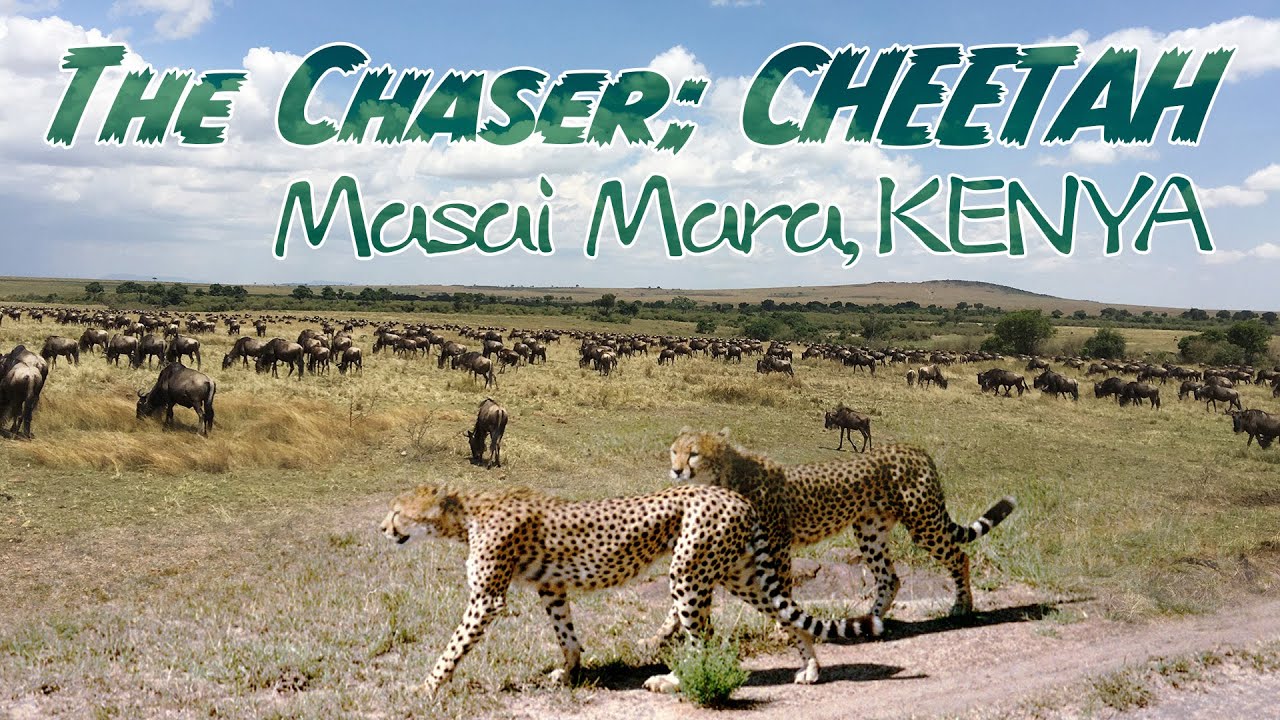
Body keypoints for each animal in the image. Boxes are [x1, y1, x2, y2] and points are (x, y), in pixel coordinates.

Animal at [379, 483, 883, 696]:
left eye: (398, 511)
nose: (382, 528)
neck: (465, 513)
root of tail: (733, 495)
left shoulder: (487, 599)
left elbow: (452, 647)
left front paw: (425, 685)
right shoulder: (552, 588)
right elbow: (568, 637)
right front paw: (569, 673)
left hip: (689, 575)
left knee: (706, 642)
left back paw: (674, 681)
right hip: (740, 575)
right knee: (788, 612)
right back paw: (811, 668)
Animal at [669, 428, 1017, 620]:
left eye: (694, 454)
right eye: (674, 451)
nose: (675, 470)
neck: (727, 476)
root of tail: (914, 449)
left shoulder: (778, 545)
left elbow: (782, 590)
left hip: (924, 524)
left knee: (959, 557)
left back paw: (962, 606)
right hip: (869, 532)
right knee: (890, 578)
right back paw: (871, 620)